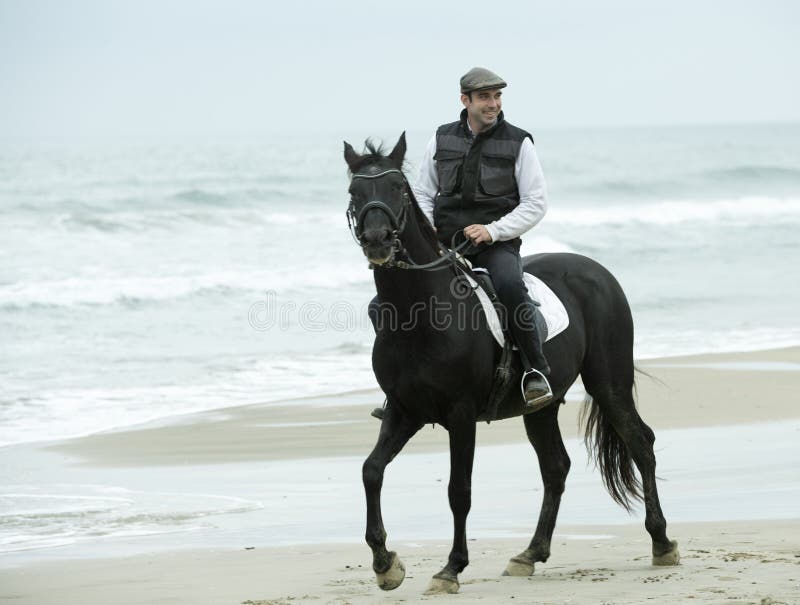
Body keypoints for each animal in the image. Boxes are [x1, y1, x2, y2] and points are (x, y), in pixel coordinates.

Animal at [343, 132, 680, 595]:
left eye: (397, 188)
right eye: (354, 193)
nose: (377, 240)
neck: (423, 312)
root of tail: (596, 270)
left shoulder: (460, 414)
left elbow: (459, 491)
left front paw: (451, 568)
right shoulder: (403, 410)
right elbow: (371, 471)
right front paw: (385, 564)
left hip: (608, 381)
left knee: (640, 443)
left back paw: (662, 542)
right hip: (542, 407)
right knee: (556, 467)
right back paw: (530, 553)